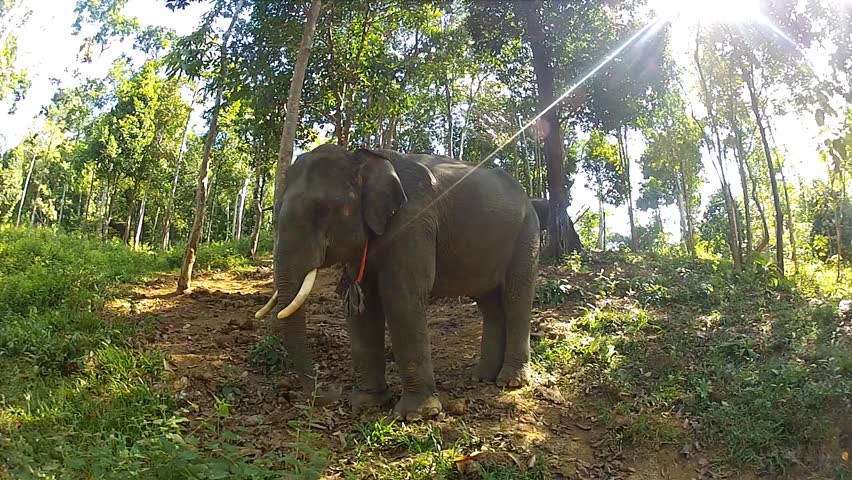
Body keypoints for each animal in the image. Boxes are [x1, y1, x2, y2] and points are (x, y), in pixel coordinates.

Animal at [254, 144, 543, 420]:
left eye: (322, 210)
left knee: (516, 298)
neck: (364, 157)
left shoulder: (414, 223)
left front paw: (416, 415)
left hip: (527, 235)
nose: (330, 391)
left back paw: (510, 382)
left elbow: (401, 298)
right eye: (275, 214)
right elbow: (363, 306)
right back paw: (482, 377)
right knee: (490, 305)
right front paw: (366, 404)